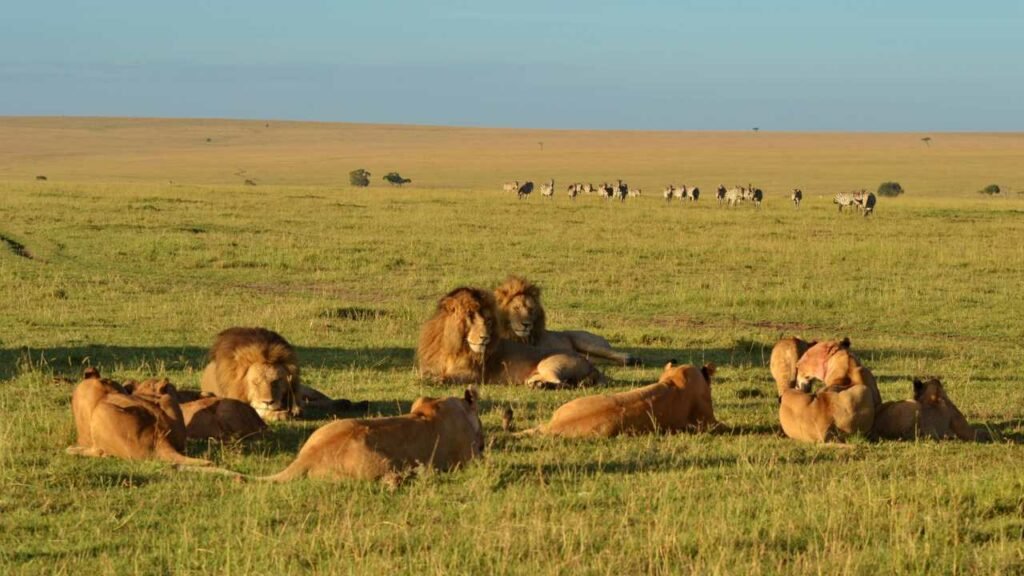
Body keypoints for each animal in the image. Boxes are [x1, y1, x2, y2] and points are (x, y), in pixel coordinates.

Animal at [200, 326, 365, 421]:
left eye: (276, 381)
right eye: (255, 382)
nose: (269, 401)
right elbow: (258, 410)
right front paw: (279, 414)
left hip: (306, 390)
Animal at [416, 287, 605, 388]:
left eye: (488, 320)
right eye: (470, 317)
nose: (485, 337)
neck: (453, 346)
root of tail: (591, 364)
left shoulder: (474, 375)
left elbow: (445, 377)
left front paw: (434, 381)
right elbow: (426, 374)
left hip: (550, 364)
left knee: (562, 382)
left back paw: (541, 386)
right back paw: (538, 384)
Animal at [494, 276, 639, 366]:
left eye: (531, 309)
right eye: (516, 308)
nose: (526, 324)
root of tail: (602, 338)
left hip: (586, 343)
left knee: (618, 354)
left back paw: (631, 359)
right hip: (592, 356)